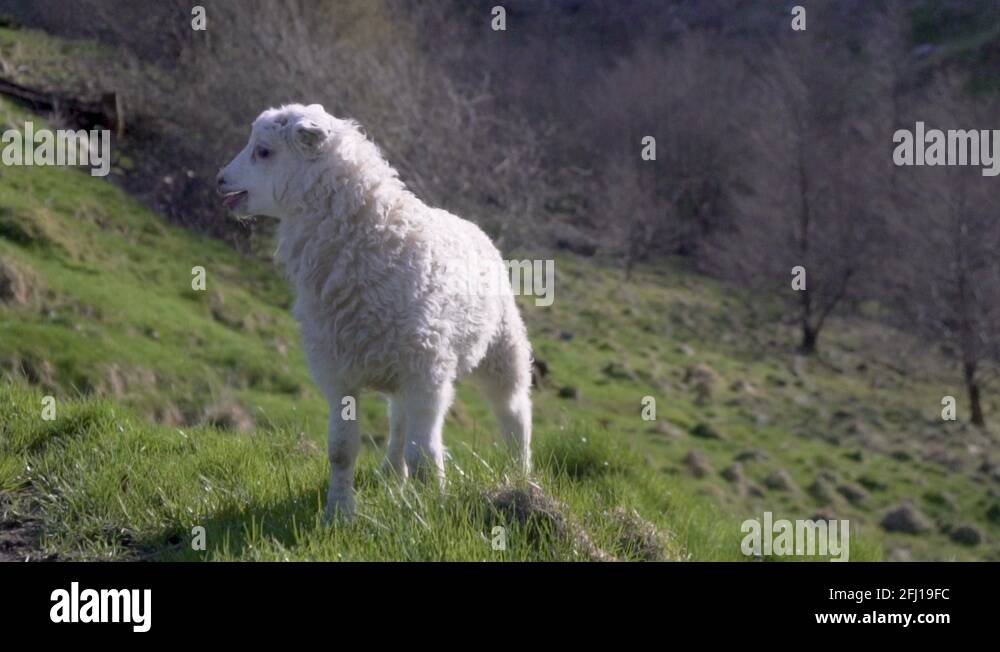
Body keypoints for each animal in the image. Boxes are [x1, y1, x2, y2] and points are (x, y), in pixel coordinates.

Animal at [217, 104, 533, 519]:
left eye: (264, 151)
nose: (220, 180)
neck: (369, 240)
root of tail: (468, 223)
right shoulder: (339, 373)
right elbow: (341, 450)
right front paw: (338, 514)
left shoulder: (428, 376)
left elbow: (424, 456)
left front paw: (431, 512)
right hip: (398, 364)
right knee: (398, 421)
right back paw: (391, 474)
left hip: (500, 343)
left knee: (513, 409)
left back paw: (521, 477)